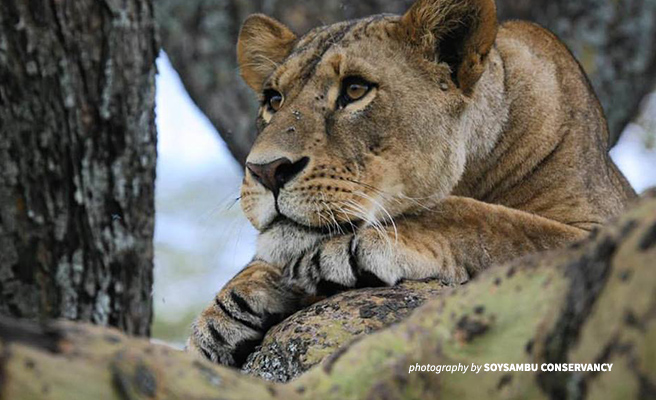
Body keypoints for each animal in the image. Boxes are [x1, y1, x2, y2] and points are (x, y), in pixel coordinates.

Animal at [187, 0, 636, 366]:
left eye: (355, 89)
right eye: (274, 100)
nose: (265, 170)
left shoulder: (598, 229)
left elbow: (489, 221)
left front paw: (341, 249)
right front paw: (225, 310)